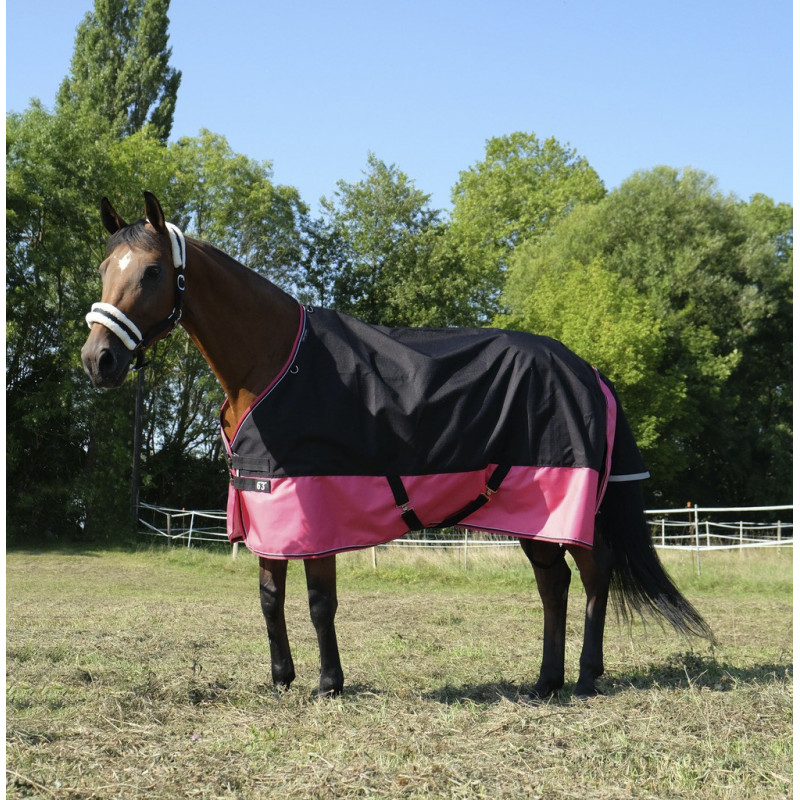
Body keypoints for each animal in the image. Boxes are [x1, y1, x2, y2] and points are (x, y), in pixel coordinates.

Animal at [81, 192, 713, 699]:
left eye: (153, 272)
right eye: (104, 268)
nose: (97, 360)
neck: (275, 363)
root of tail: (588, 371)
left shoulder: (314, 508)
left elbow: (319, 602)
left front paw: (329, 684)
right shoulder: (265, 502)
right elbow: (268, 597)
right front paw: (282, 679)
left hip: (565, 502)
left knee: (593, 571)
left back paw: (583, 677)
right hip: (528, 511)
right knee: (554, 581)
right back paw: (545, 682)